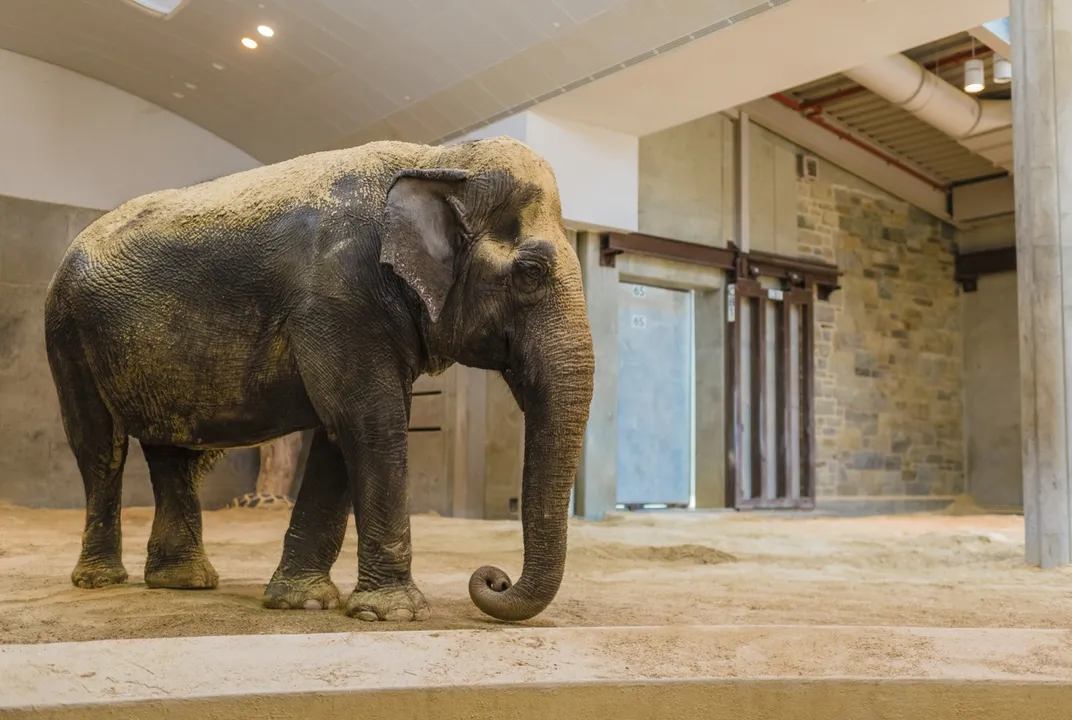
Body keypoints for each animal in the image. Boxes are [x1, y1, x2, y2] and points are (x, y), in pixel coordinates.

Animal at [43, 136, 595, 623]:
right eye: (530, 273)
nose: (493, 579)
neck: (436, 159)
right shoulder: (340, 298)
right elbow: (371, 422)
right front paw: (393, 614)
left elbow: (342, 432)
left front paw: (303, 603)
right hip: (66, 334)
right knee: (101, 450)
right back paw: (101, 581)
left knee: (174, 455)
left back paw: (184, 582)